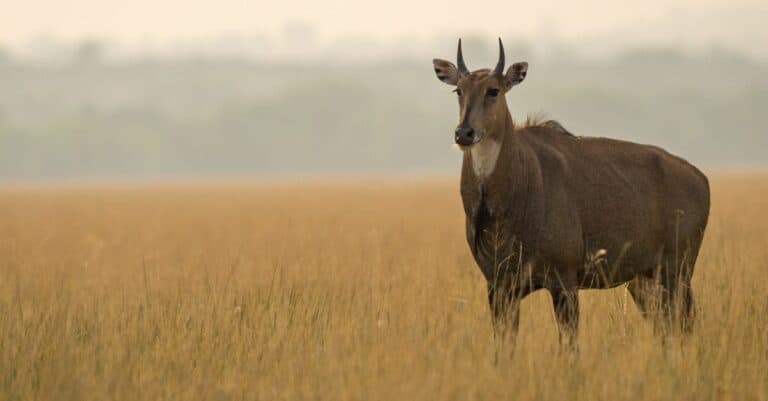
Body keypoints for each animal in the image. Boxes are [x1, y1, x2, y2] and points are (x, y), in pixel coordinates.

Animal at [432, 39, 710, 347]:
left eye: (493, 90)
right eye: (459, 90)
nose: (464, 133)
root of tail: (700, 177)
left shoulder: (564, 281)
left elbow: (569, 347)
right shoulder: (499, 287)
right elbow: (504, 347)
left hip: (677, 272)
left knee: (686, 325)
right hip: (643, 279)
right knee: (665, 328)